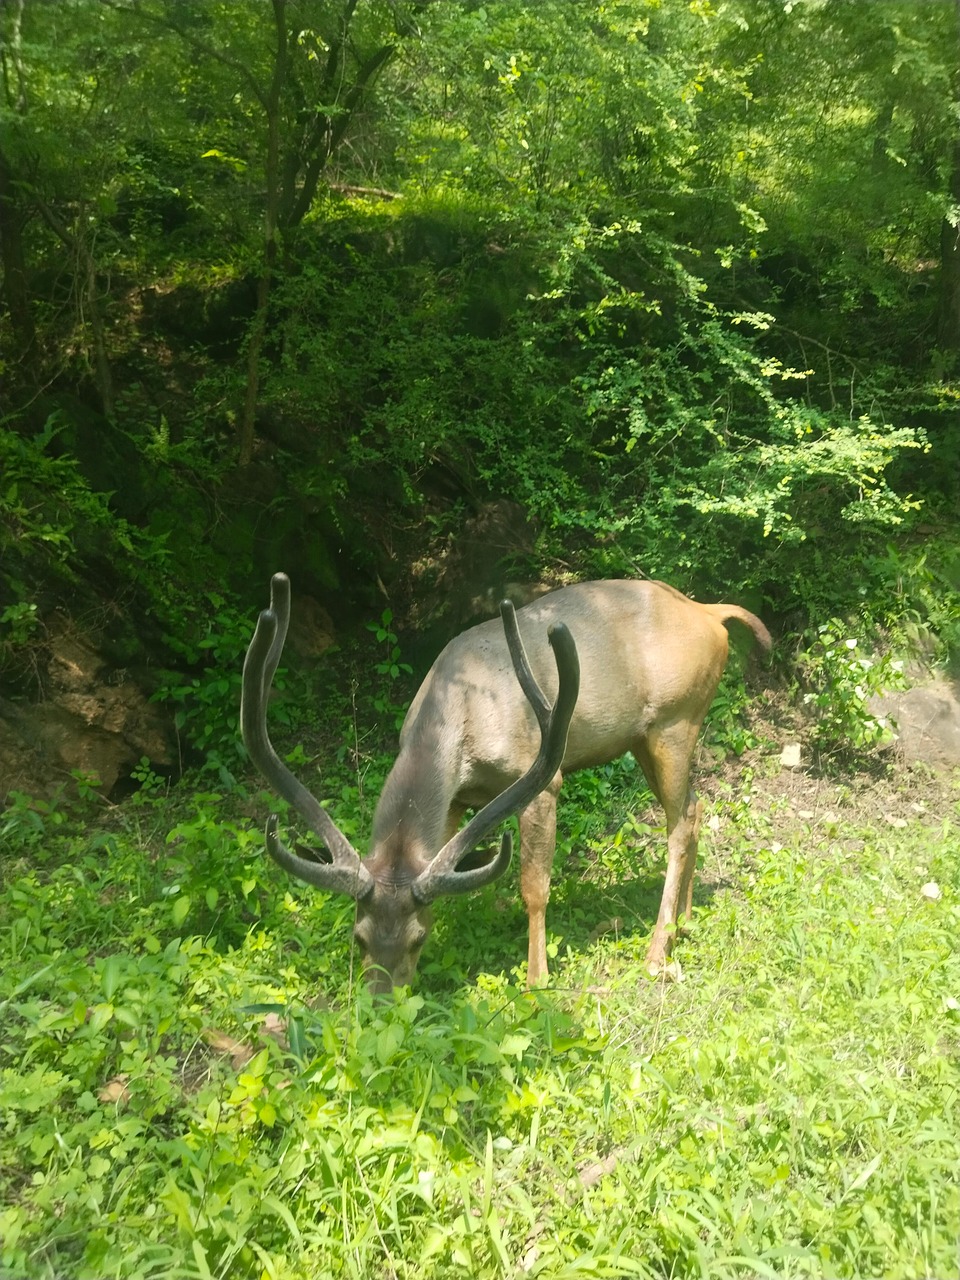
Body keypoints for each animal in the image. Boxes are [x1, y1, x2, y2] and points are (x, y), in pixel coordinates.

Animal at [242, 573, 771, 993]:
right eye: (360, 938)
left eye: (415, 940)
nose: (381, 1005)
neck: (461, 717)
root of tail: (709, 613)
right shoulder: (457, 801)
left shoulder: (541, 778)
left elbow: (534, 885)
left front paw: (536, 979)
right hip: (646, 736)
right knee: (695, 809)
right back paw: (684, 920)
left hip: (675, 721)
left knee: (678, 824)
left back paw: (658, 948)